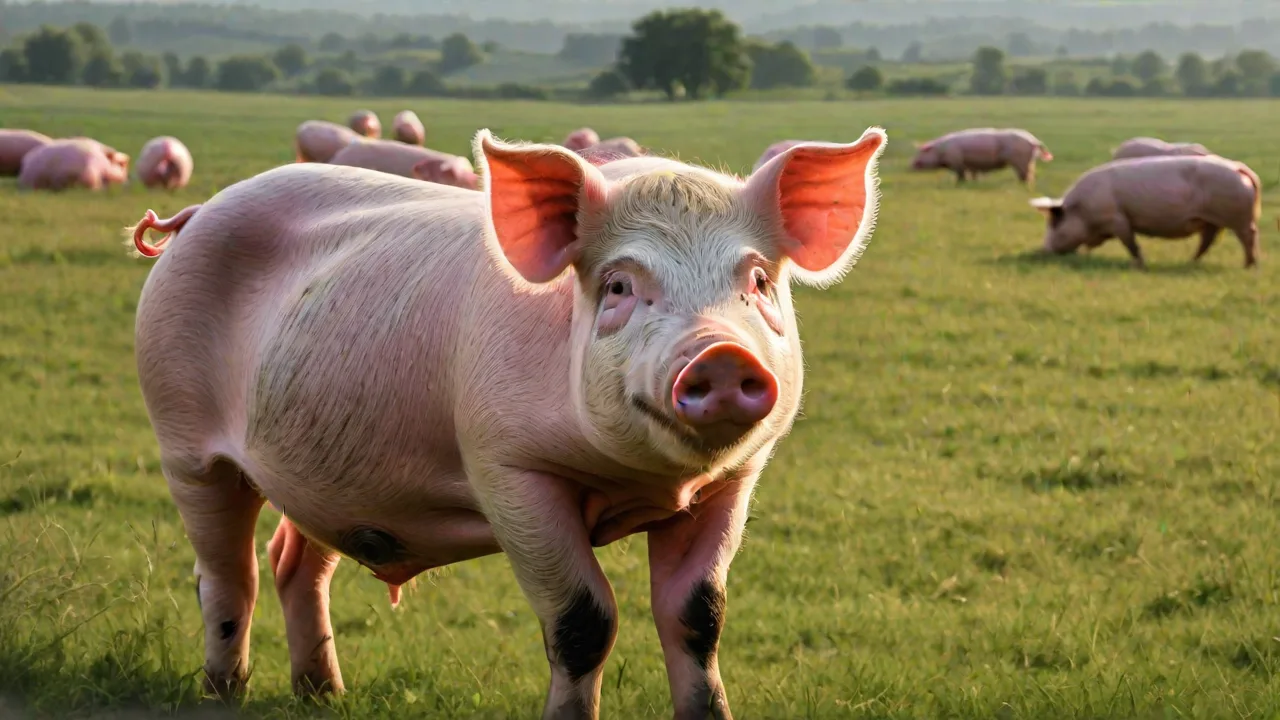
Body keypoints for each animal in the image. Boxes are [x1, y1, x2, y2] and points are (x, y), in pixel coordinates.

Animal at [910, 127, 1052, 187]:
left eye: (923, 152)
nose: (911, 164)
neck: (941, 151)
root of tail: (1034, 140)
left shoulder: (957, 161)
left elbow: (960, 175)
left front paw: (959, 183)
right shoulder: (970, 164)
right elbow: (972, 174)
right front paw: (973, 182)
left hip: (1021, 161)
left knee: (1025, 176)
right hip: (1028, 162)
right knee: (1029, 175)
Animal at [1029, 154, 1261, 269]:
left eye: (1054, 224)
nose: (1042, 251)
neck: (1083, 209)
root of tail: (1237, 167)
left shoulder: (1118, 219)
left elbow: (1130, 243)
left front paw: (1139, 264)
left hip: (1238, 217)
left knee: (1249, 236)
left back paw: (1249, 266)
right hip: (1211, 220)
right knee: (1207, 240)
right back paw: (1190, 262)